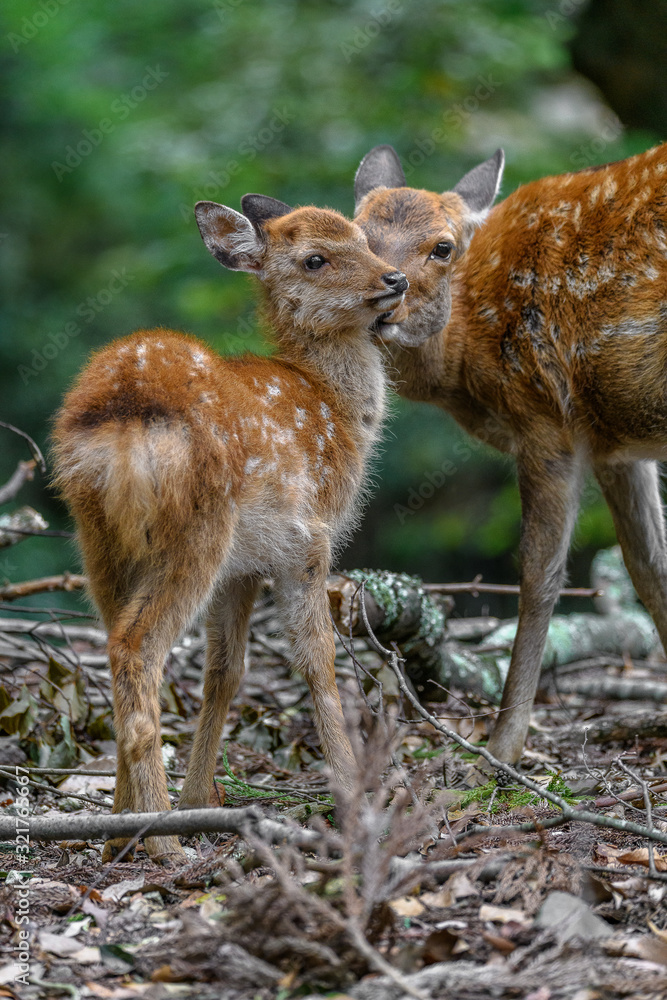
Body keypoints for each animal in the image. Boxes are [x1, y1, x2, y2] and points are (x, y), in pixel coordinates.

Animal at [52, 194, 407, 863]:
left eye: (364, 237)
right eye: (316, 258)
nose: (394, 279)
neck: (336, 409)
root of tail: (123, 415)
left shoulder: (243, 567)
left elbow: (226, 670)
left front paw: (201, 798)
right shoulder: (306, 539)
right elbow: (317, 659)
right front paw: (351, 793)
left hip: (99, 536)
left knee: (115, 641)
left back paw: (117, 834)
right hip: (198, 529)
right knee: (137, 646)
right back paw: (162, 841)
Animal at [353, 141, 667, 771]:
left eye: (443, 246)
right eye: (356, 236)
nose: (383, 301)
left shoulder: (545, 416)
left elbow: (539, 577)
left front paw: (502, 746)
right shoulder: (617, 445)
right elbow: (651, 569)